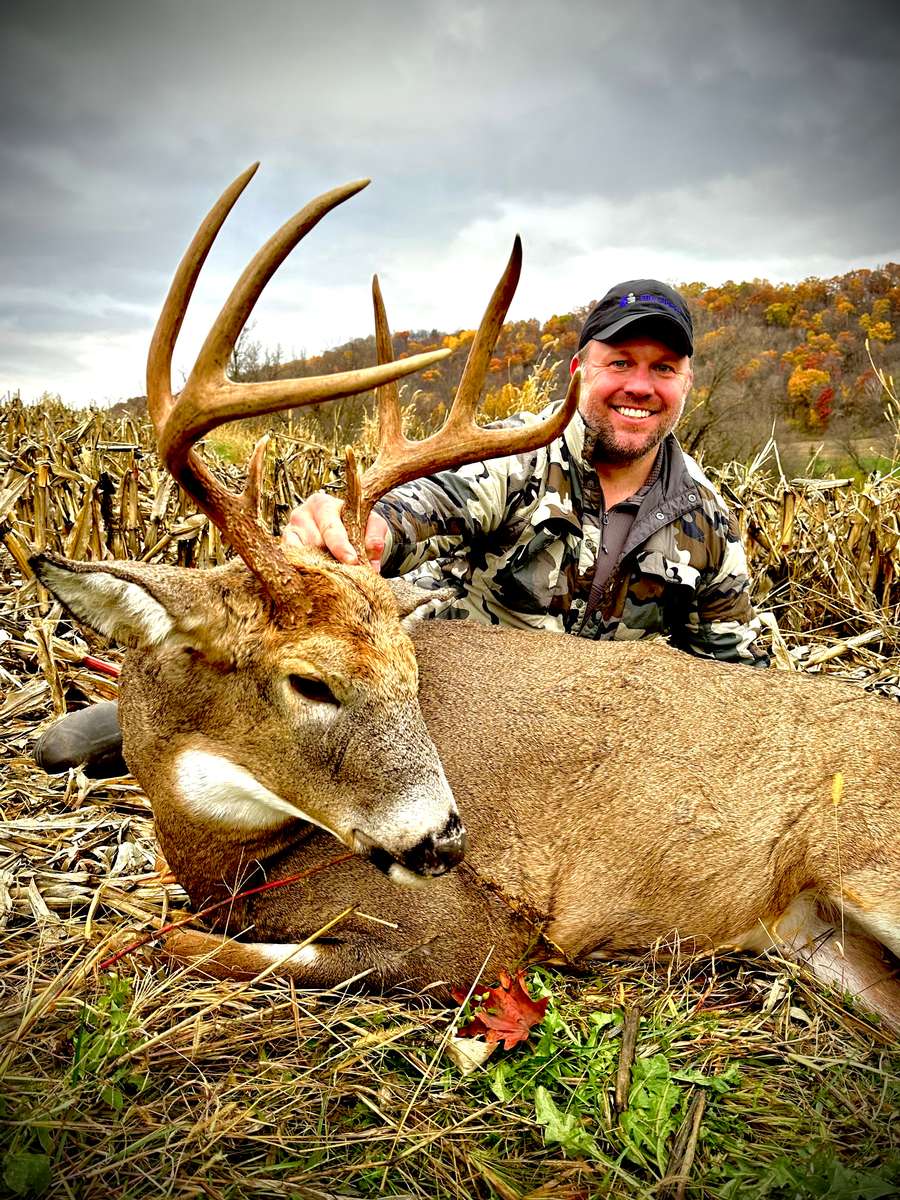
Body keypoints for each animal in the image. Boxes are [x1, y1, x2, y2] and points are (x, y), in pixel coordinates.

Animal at [32, 166, 900, 1031]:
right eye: (310, 681)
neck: (229, 857)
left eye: (411, 677)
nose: (447, 842)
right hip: (827, 941)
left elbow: (173, 943)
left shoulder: (469, 930)